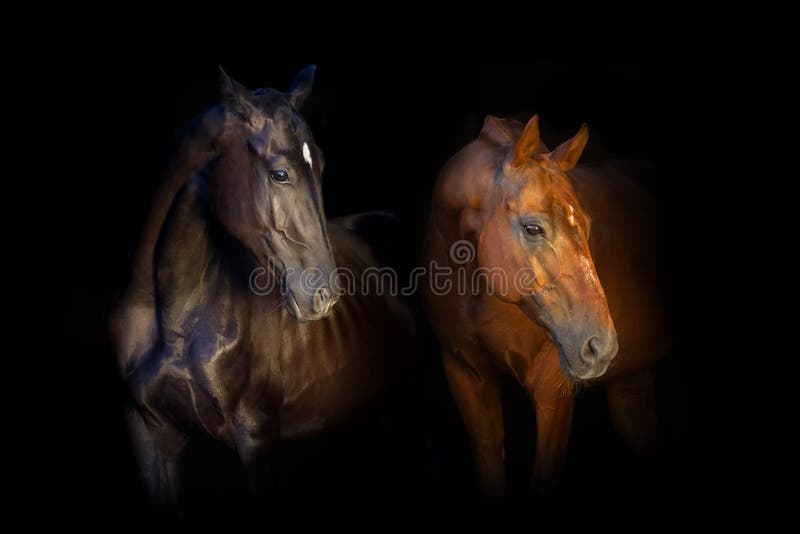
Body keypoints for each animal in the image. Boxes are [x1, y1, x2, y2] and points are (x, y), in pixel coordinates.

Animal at [109, 67, 415, 506]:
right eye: (280, 173)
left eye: (321, 164)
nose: (325, 296)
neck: (174, 311)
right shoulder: (150, 434)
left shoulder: (258, 436)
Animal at [421, 114, 668, 500]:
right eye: (533, 228)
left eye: (587, 225)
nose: (601, 346)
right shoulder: (466, 377)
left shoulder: (553, 390)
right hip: (632, 389)